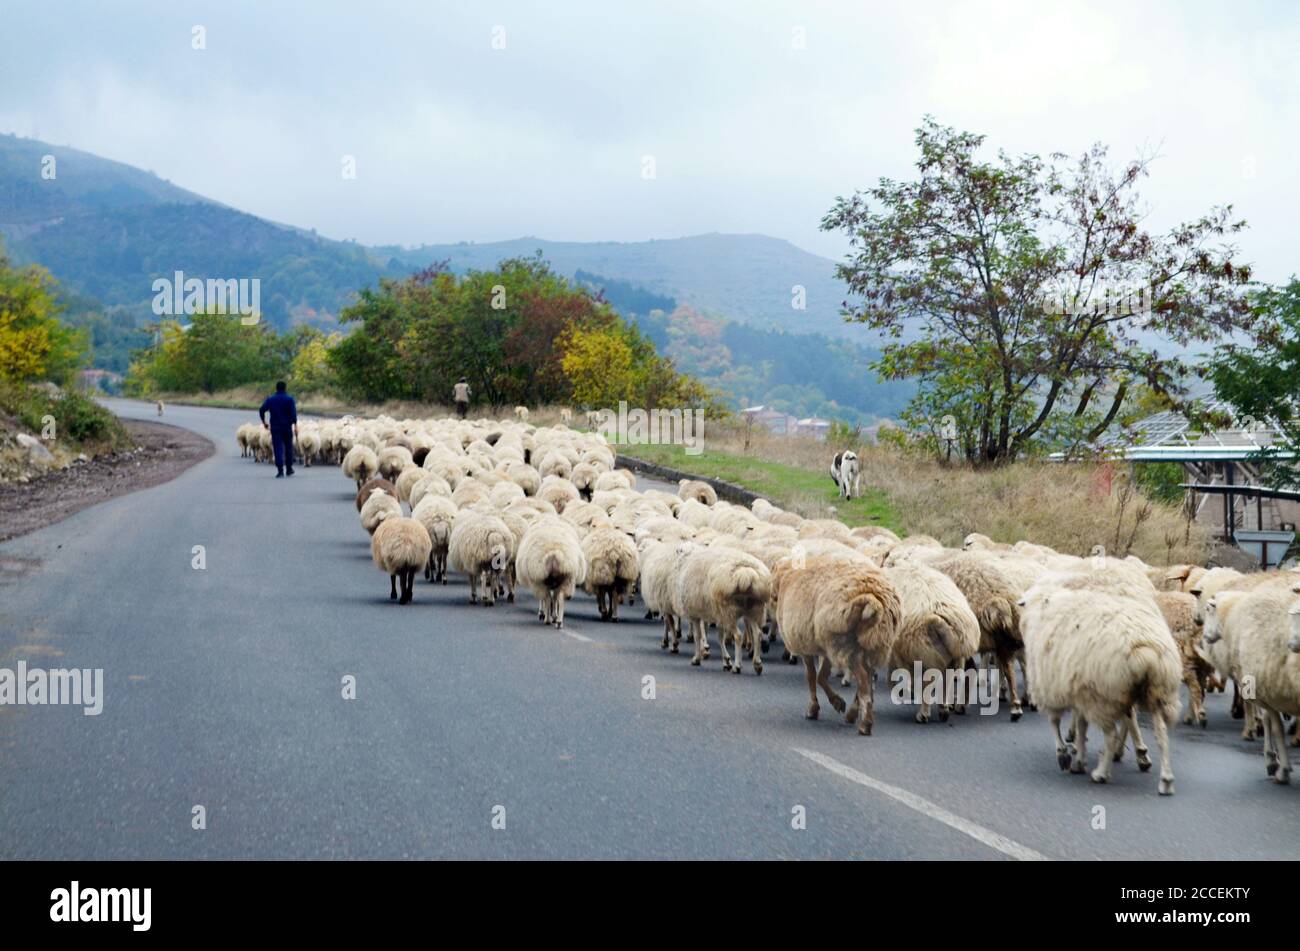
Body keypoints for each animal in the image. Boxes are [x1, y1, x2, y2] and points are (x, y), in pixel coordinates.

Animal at [675, 546, 772, 674]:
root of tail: (745, 574)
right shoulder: (718, 615)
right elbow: (720, 638)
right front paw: (726, 661)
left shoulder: (696, 613)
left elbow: (698, 636)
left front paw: (696, 658)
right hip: (753, 609)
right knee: (758, 634)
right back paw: (757, 664)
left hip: (728, 611)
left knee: (738, 636)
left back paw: (737, 666)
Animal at [774, 558, 903, 734]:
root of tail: (872, 600)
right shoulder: (826, 646)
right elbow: (821, 676)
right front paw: (835, 703)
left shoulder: (808, 645)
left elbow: (812, 676)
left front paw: (816, 708)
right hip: (873, 645)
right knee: (869, 679)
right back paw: (853, 713)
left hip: (846, 644)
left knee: (864, 679)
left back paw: (865, 724)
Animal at [884, 563, 982, 723]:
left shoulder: (899, 652)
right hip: (952, 653)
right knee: (951, 677)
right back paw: (945, 709)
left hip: (924, 653)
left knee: (928, 682)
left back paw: (923, 714)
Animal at [1020, 584, 1180, 794]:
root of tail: (1145, 651)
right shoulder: (1079, 689)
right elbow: (1081, 725)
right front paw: (1079, 759)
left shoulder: (1050, 684)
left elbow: (1055, 722)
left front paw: (1063, 753)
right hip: (1157, 692)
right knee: (1161, 734)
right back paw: (1166, 780)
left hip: (1103, 696)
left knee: (1111, 735)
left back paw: (1101, 773)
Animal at [1205, 587, 1300, 783]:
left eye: (1208, 610)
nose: (1205, 636)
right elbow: (1269, 719)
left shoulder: (1254, 681)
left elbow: (1266, 717)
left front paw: (1272, 760)